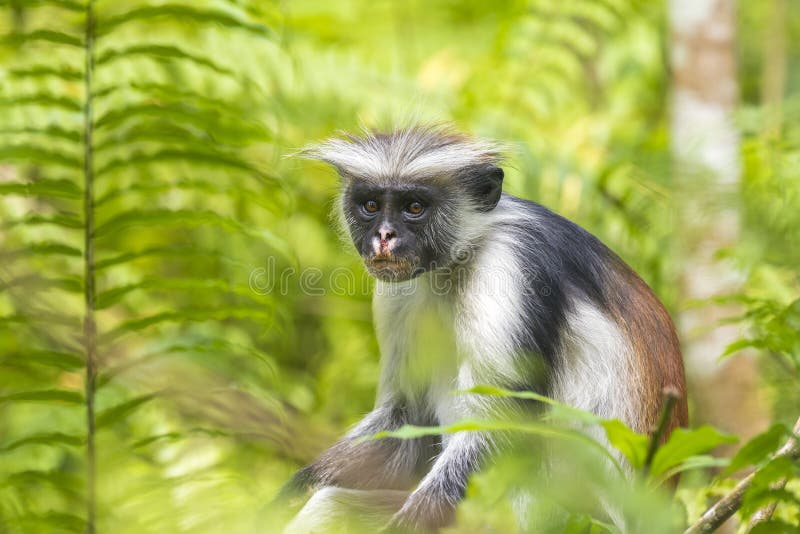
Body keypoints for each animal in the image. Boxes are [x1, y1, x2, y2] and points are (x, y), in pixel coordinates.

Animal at [273, 125, 687, 533]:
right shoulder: (399, 292)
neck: (459, 258)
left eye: (414, 208)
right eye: (371, 206)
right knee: (328, 507)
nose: (384, 237)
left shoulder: (510, 266)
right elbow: (410, 421)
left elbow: (503, 424)